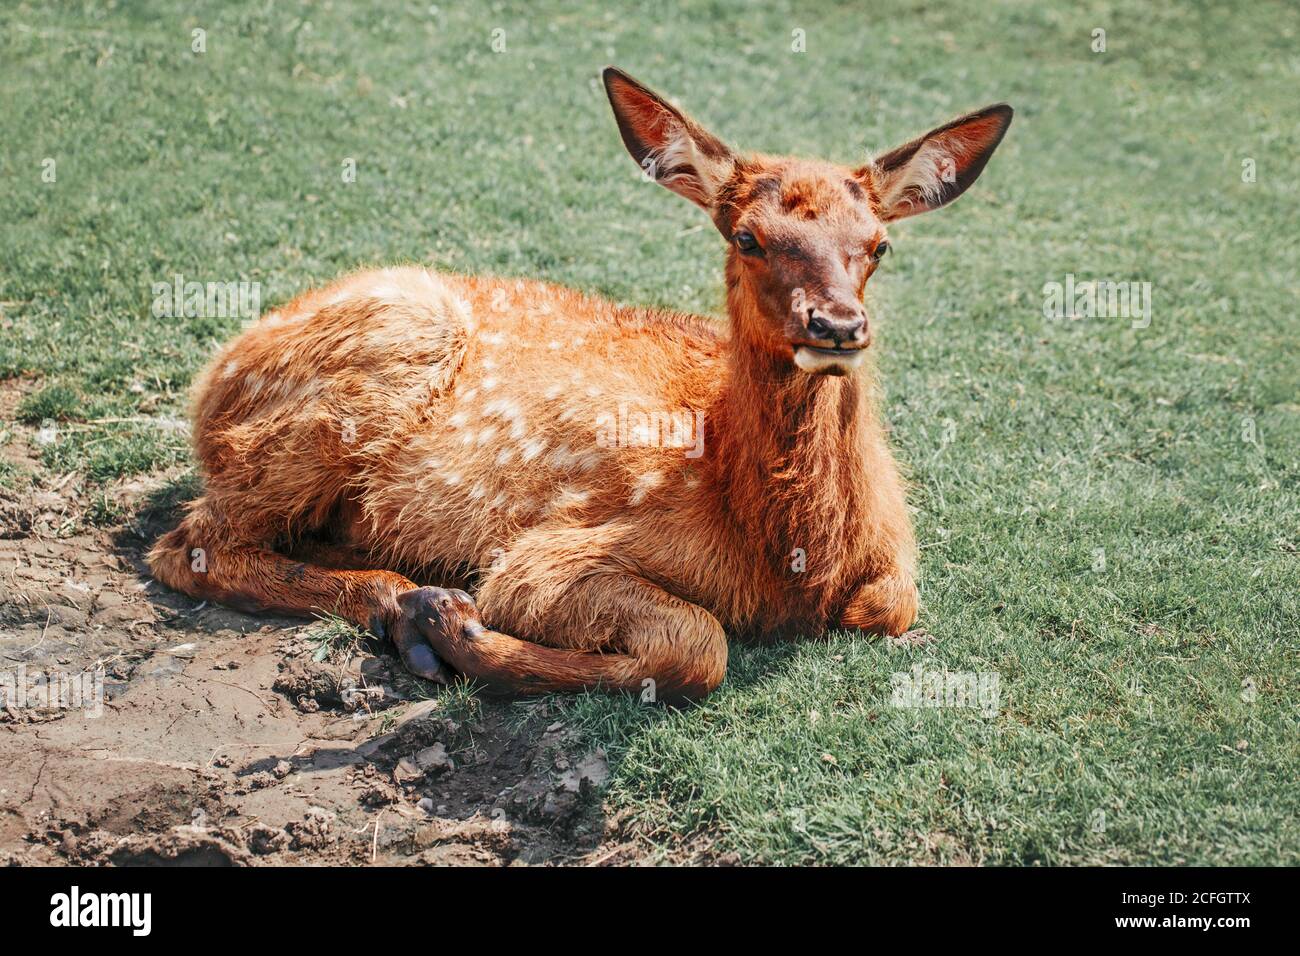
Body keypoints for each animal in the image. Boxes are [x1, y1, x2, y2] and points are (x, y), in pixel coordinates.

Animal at [147, 68, 1012, 702]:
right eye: (747, 237)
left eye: (879, 245)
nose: (835, 325)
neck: (798, 564)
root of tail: (208, 383)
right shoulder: (551, 552)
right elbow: (698, 644)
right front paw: (457, 628)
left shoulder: (894, 571)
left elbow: (888, 606)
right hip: (368, 364)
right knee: (189, 546)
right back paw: (411, 611)